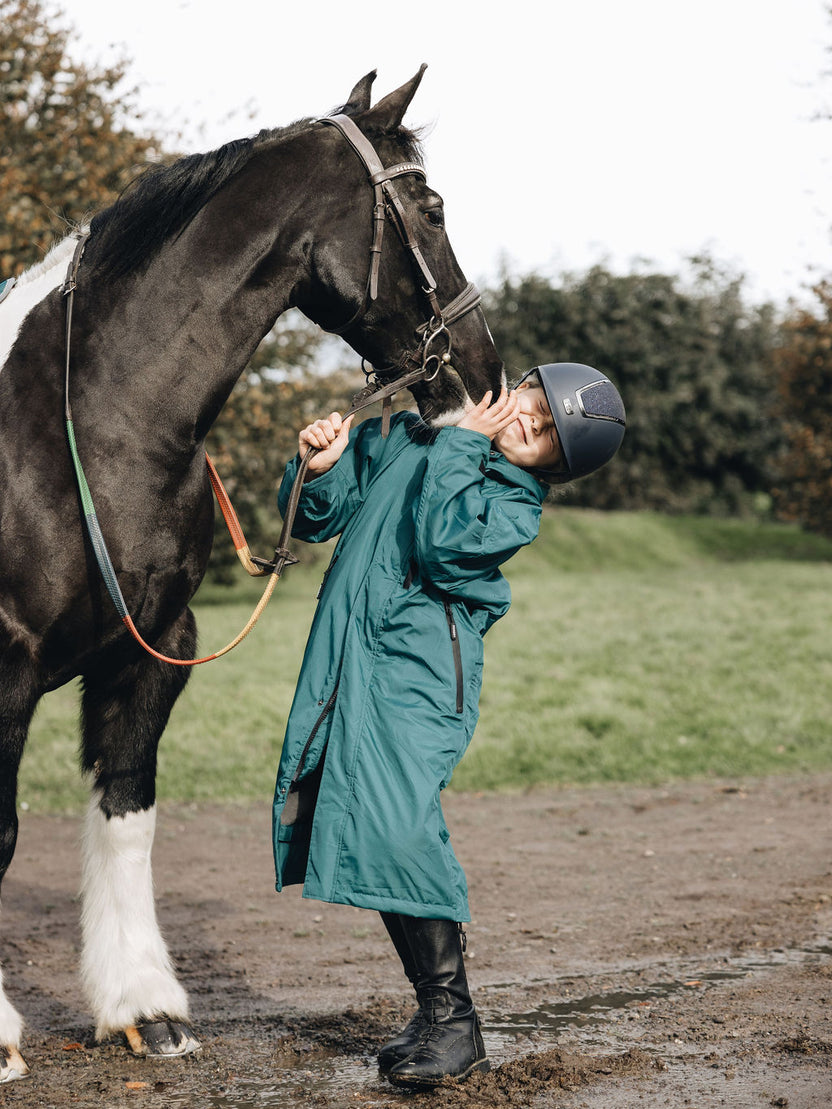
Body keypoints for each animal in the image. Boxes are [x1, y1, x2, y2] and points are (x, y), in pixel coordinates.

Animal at [0, 66, 504, 1082]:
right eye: (431, 208)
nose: (483, 369)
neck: (83, 424)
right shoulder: (3, 664)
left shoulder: (151, 652)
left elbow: (126, 813)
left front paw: (143, 1008)